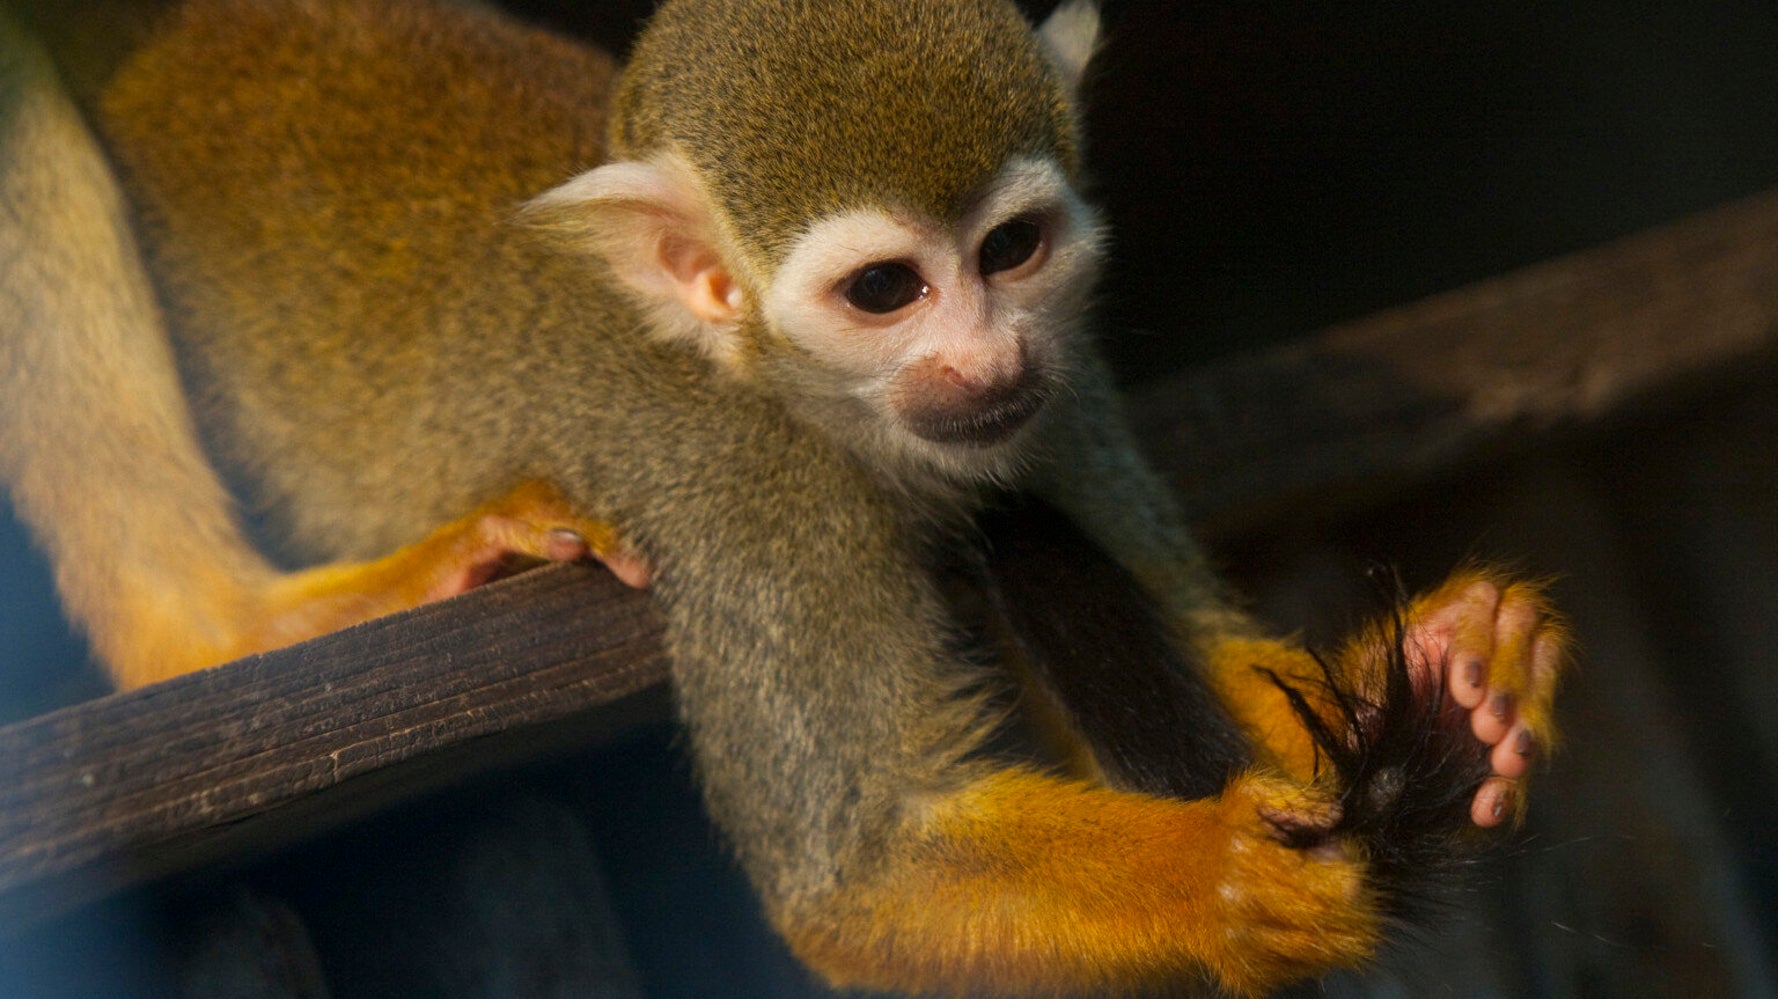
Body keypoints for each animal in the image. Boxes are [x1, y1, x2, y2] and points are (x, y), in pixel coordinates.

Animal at [0, 0, 1567, 995]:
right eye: (885, 291)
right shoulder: (752, 497)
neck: (815, 403)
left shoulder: (1060, 399)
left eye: (1010, 251)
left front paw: (1461, 663)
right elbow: (854, 876)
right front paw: (1222, 878)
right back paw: (219, 633)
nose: (986, 358)